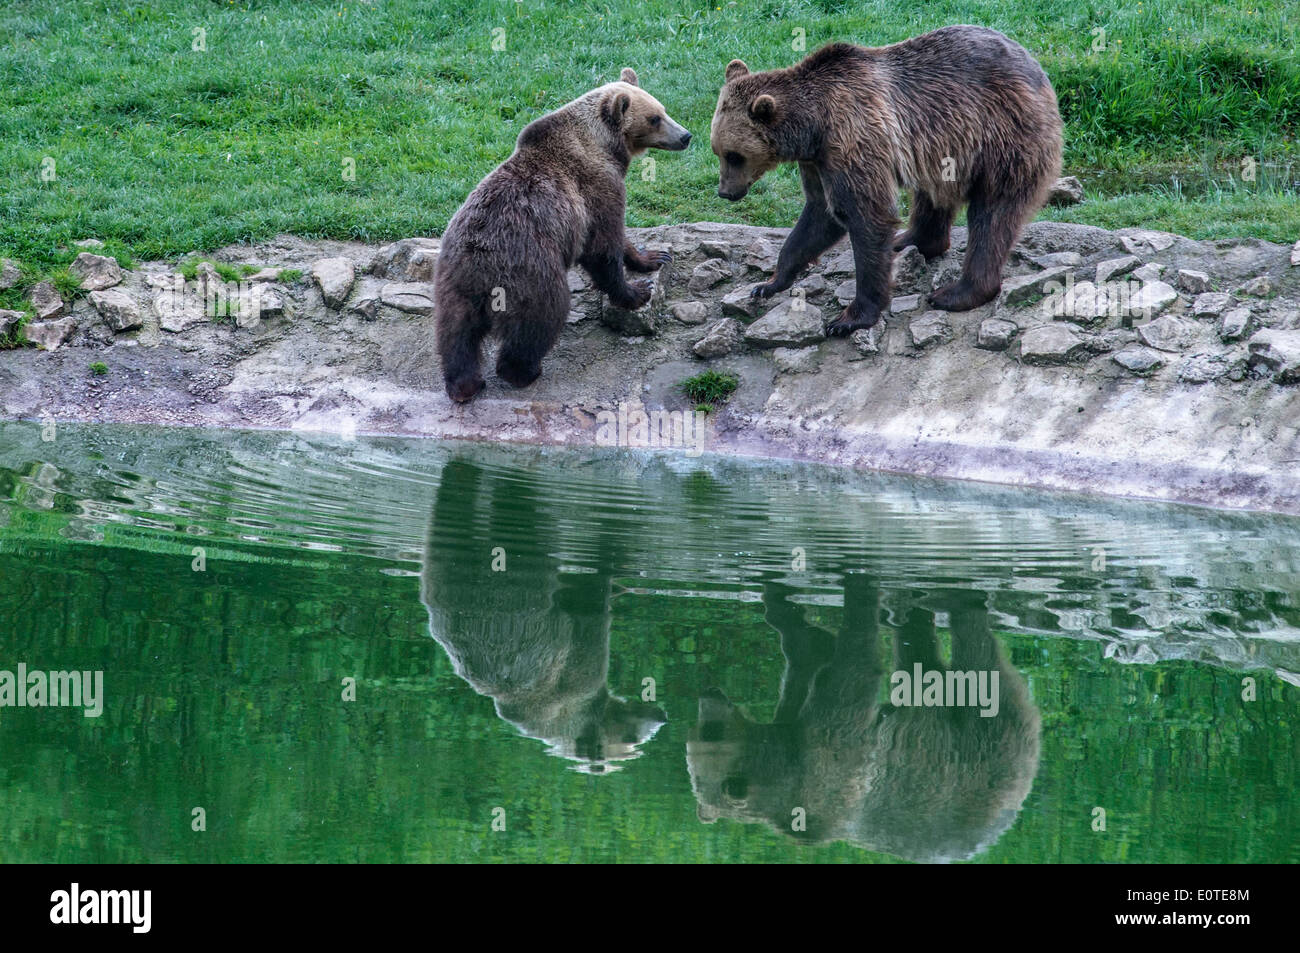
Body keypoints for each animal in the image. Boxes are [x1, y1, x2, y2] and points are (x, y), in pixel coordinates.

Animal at [420, 457, 667, 772]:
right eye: (632, 738)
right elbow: (590, 604)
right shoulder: (573, 664)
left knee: (454, 510)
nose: (661, 717)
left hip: (446, 577)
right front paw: (614, 562)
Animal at [434, 69, 692, 403]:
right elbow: (603, 244)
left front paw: (655, 256)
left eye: (663, 109)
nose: (685, 136)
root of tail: (478, 265)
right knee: (541, 318)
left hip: (453, 283)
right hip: (530, 273)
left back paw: (465, 384)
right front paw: (637, 290)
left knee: (456, 334)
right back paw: (524, 371)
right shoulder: (596, 188)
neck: (602, 146)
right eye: (654, 118)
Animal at [687, 576, 1041, 862]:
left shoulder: (829, 768)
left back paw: (954, 600)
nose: (707, 695)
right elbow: (808, 653)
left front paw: (857, 586)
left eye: (710, 730)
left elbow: (850, 663)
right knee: (921, 665)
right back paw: (912, 612)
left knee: (978, 661)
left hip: (983, 756)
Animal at [710, 25, 1063, 334]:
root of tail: (1036, 67)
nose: (725, 192)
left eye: (734, 155)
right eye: (717, 150)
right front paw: (768, 283)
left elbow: (865, 214)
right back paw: (911, 240)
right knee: (932, 195)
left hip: (1002, 134)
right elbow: (819, 215)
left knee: (993, 213)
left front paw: (850, 318)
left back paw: (957, 292)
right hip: (944, 149)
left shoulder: (853, 138)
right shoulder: (816, 160)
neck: (813, 126)